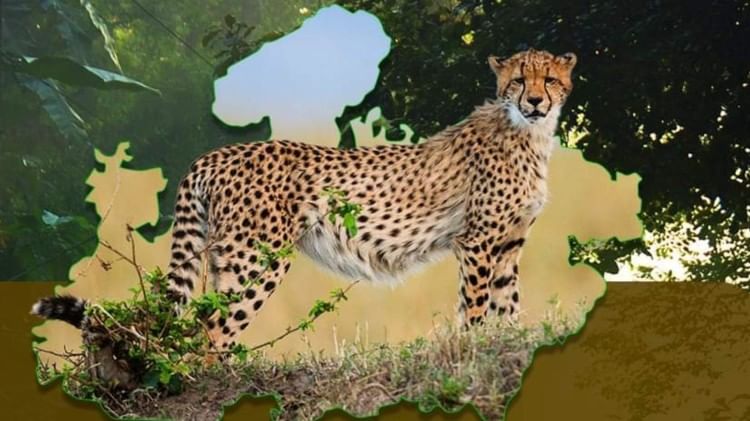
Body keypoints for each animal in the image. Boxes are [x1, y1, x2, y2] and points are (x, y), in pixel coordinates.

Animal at [33, 48, 577, 353]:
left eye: (549, 79)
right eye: (518, 80)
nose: (535, 101)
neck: (527, 132)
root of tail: (215, 153)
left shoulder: (507, 245)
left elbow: (507, 303)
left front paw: (504, 345)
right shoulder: (477, 242)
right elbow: (477, 305)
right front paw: (471, 350)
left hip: (224, 259)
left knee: (203, 321)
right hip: (257, 260)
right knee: (212, 328)